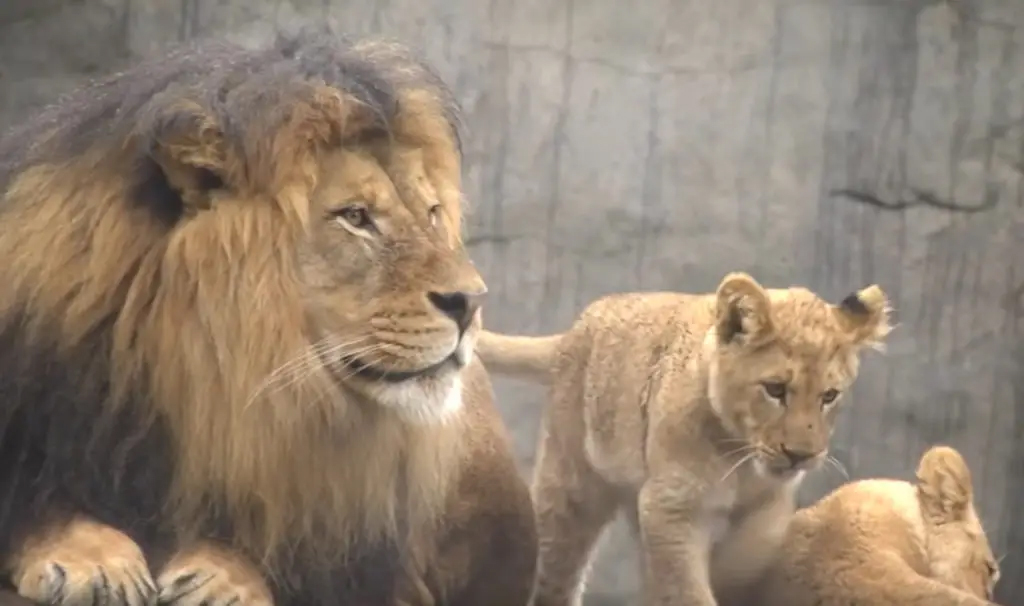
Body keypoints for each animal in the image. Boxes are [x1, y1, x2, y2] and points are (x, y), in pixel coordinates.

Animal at [476, 272, 891, 606]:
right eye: (775, 389)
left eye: (829, 396)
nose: (800, 456)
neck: (741, 459)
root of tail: (576, 329)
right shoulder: (671, 507)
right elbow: (687, 588)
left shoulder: (768, 507)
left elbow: (747, 558)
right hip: (571, 490)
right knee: (557, 571)